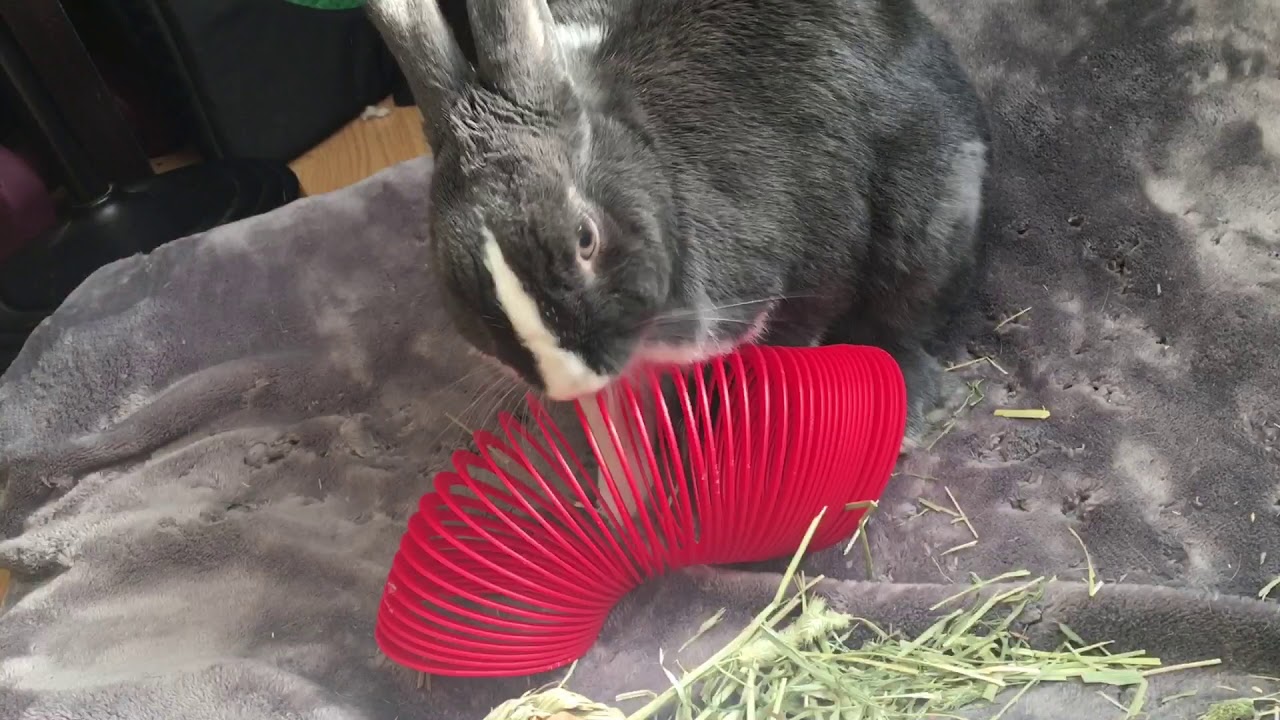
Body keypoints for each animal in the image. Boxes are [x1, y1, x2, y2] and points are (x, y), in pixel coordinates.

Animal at [367, 0, 990, 508]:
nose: (570, 381)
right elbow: (617, 432)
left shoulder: (806, 281)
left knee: (901, 321)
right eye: (448, 273)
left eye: (586, 237)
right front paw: (622, 510)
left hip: (931, 220)